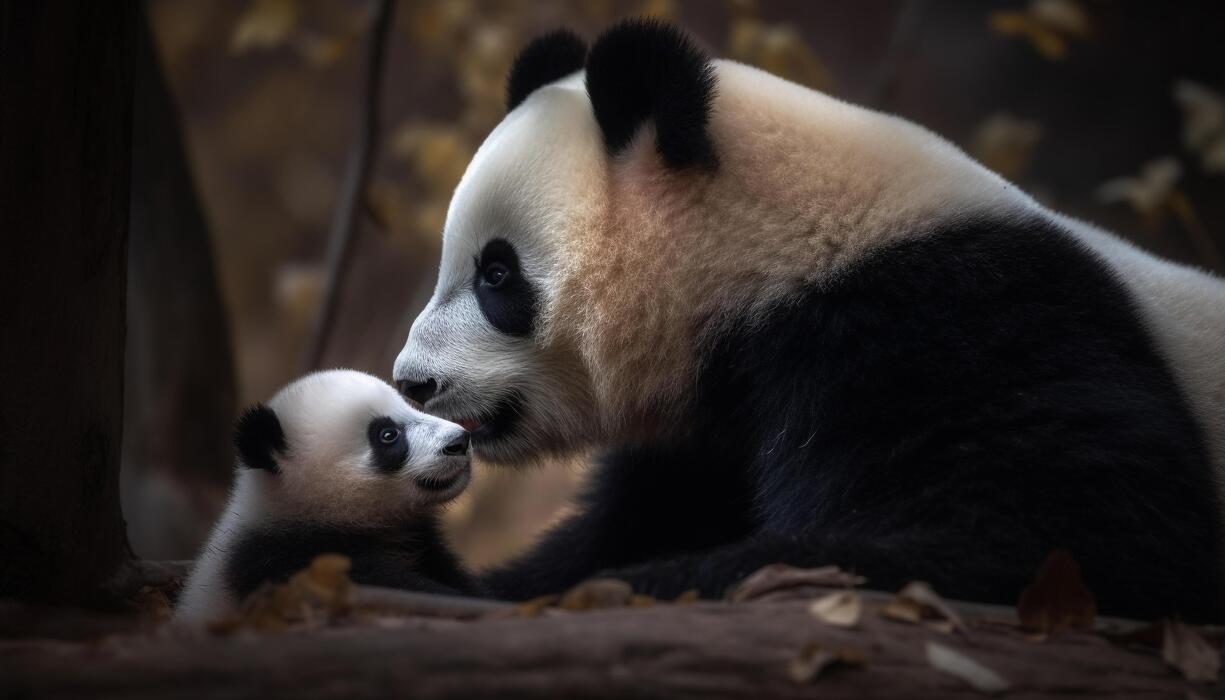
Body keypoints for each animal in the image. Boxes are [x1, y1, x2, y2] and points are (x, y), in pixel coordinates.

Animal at [393, 20, 1225, 621]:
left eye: (497, 274)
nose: (413, 383)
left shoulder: (950, 325)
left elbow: (1077, 534)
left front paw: (664, 579)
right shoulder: (712, 428)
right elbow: (630, 520)